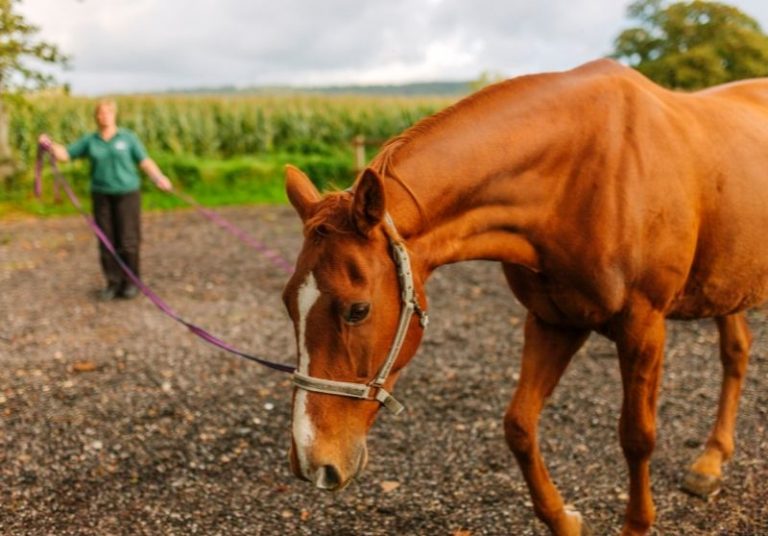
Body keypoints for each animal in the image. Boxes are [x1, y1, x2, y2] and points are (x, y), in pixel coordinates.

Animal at [280, 58, 768, 535]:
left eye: (358, 309)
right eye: (287, 303)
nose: (312, 463)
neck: (582, 178)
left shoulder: (643, 326)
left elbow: (637, 436)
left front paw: (636, 525)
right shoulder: (553, 320)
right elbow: (518, 425)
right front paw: (564, 519)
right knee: (736, 352)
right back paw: (710, 461)